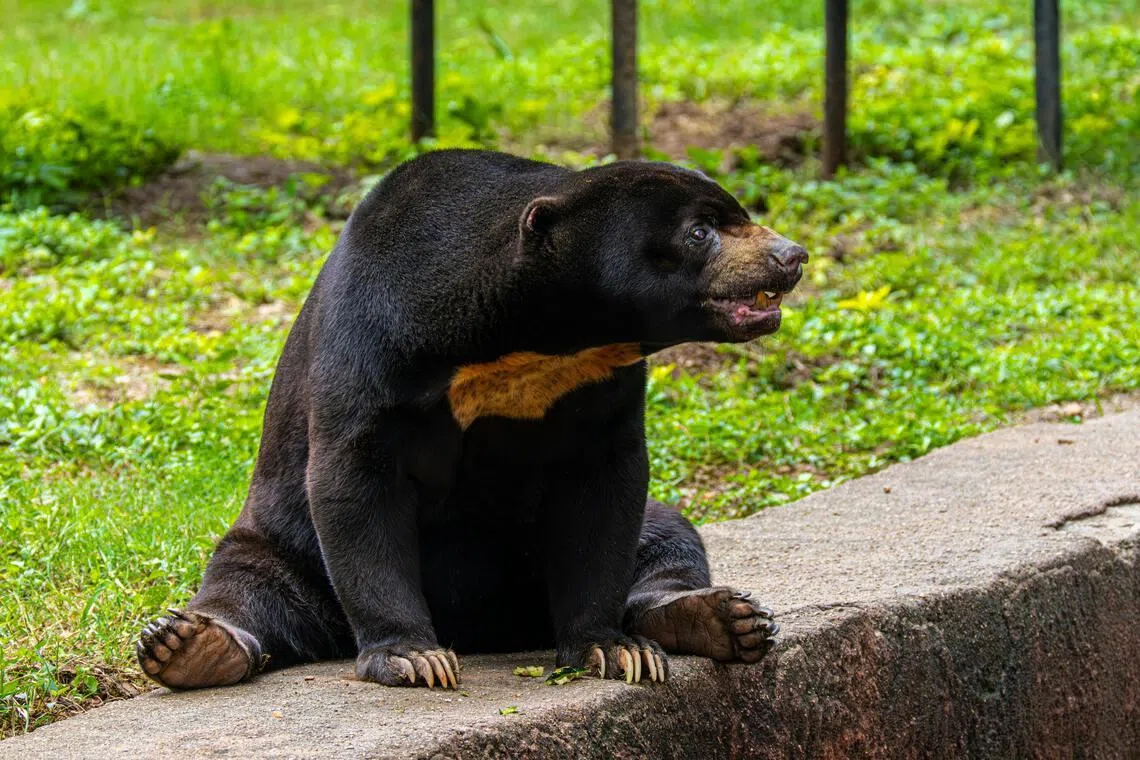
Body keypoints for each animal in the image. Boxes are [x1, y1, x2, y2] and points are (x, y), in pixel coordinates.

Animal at [136, 149, 807, 690]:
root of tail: (492, 627)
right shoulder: (373, 341)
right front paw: (414, 659)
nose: (792, 255)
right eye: (699, 232)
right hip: (284, 544)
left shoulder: (599, 383)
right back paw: (188, 644)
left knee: (668, 535)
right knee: (247, 583)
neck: (535, 340)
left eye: (738, 215)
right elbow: (355, 476)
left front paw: (610, 650)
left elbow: (607, 488)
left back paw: (723, 618)